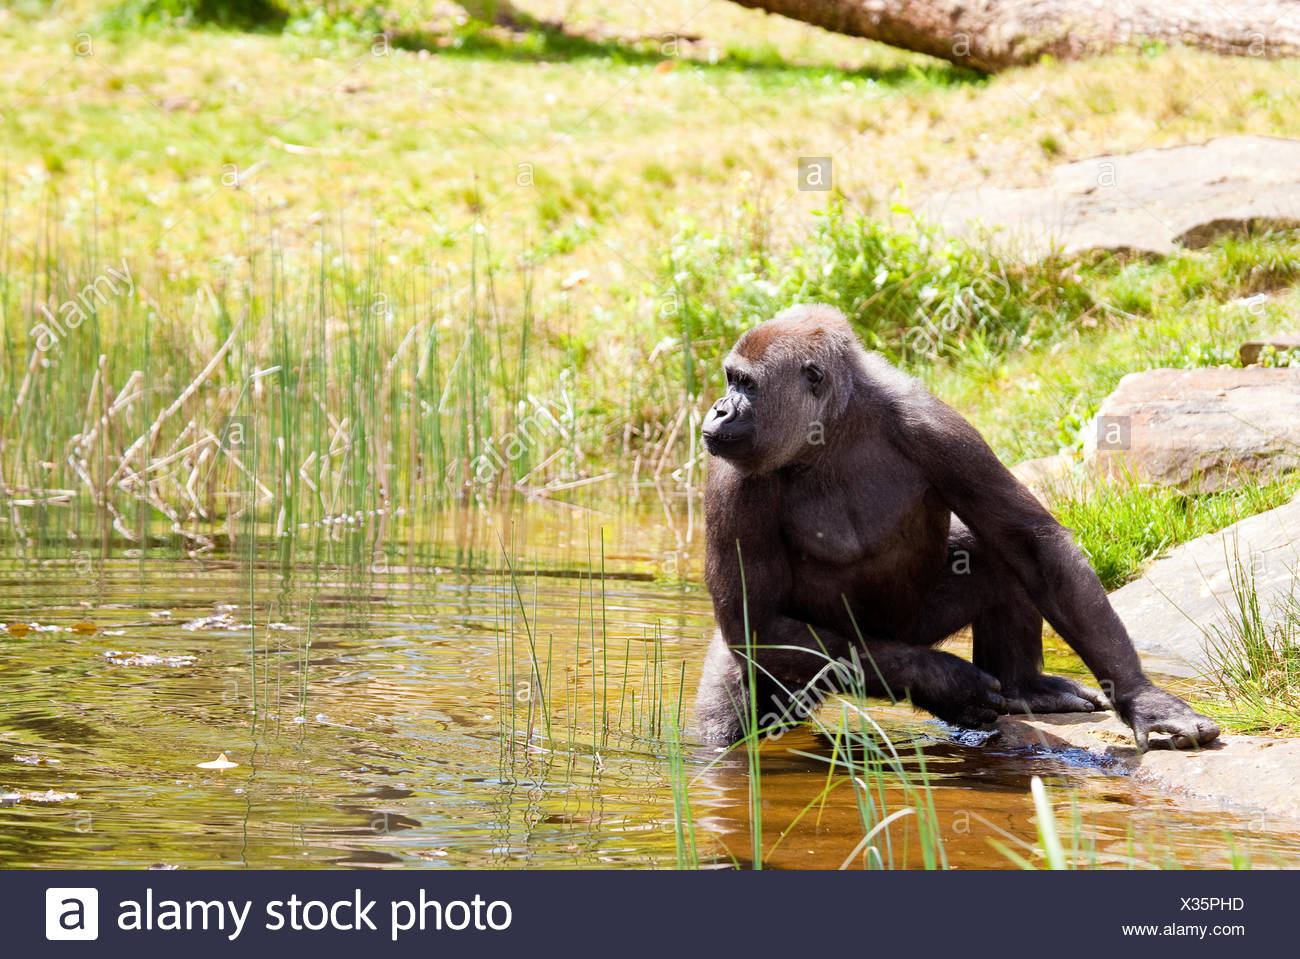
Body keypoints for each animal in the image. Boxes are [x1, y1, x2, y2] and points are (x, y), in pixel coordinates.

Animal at [695, 304, 1220, 752]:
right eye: (732, 380)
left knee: (995, 552)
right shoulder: (732, 476)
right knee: (728, 719)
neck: (835, 425)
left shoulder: (936, 427)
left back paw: (1025, 686)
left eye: (745, 384)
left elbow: (1031, 544)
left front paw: (1141, 697)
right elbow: (756, 621)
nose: (719, 408)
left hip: (909, 625)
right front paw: (944, 683)